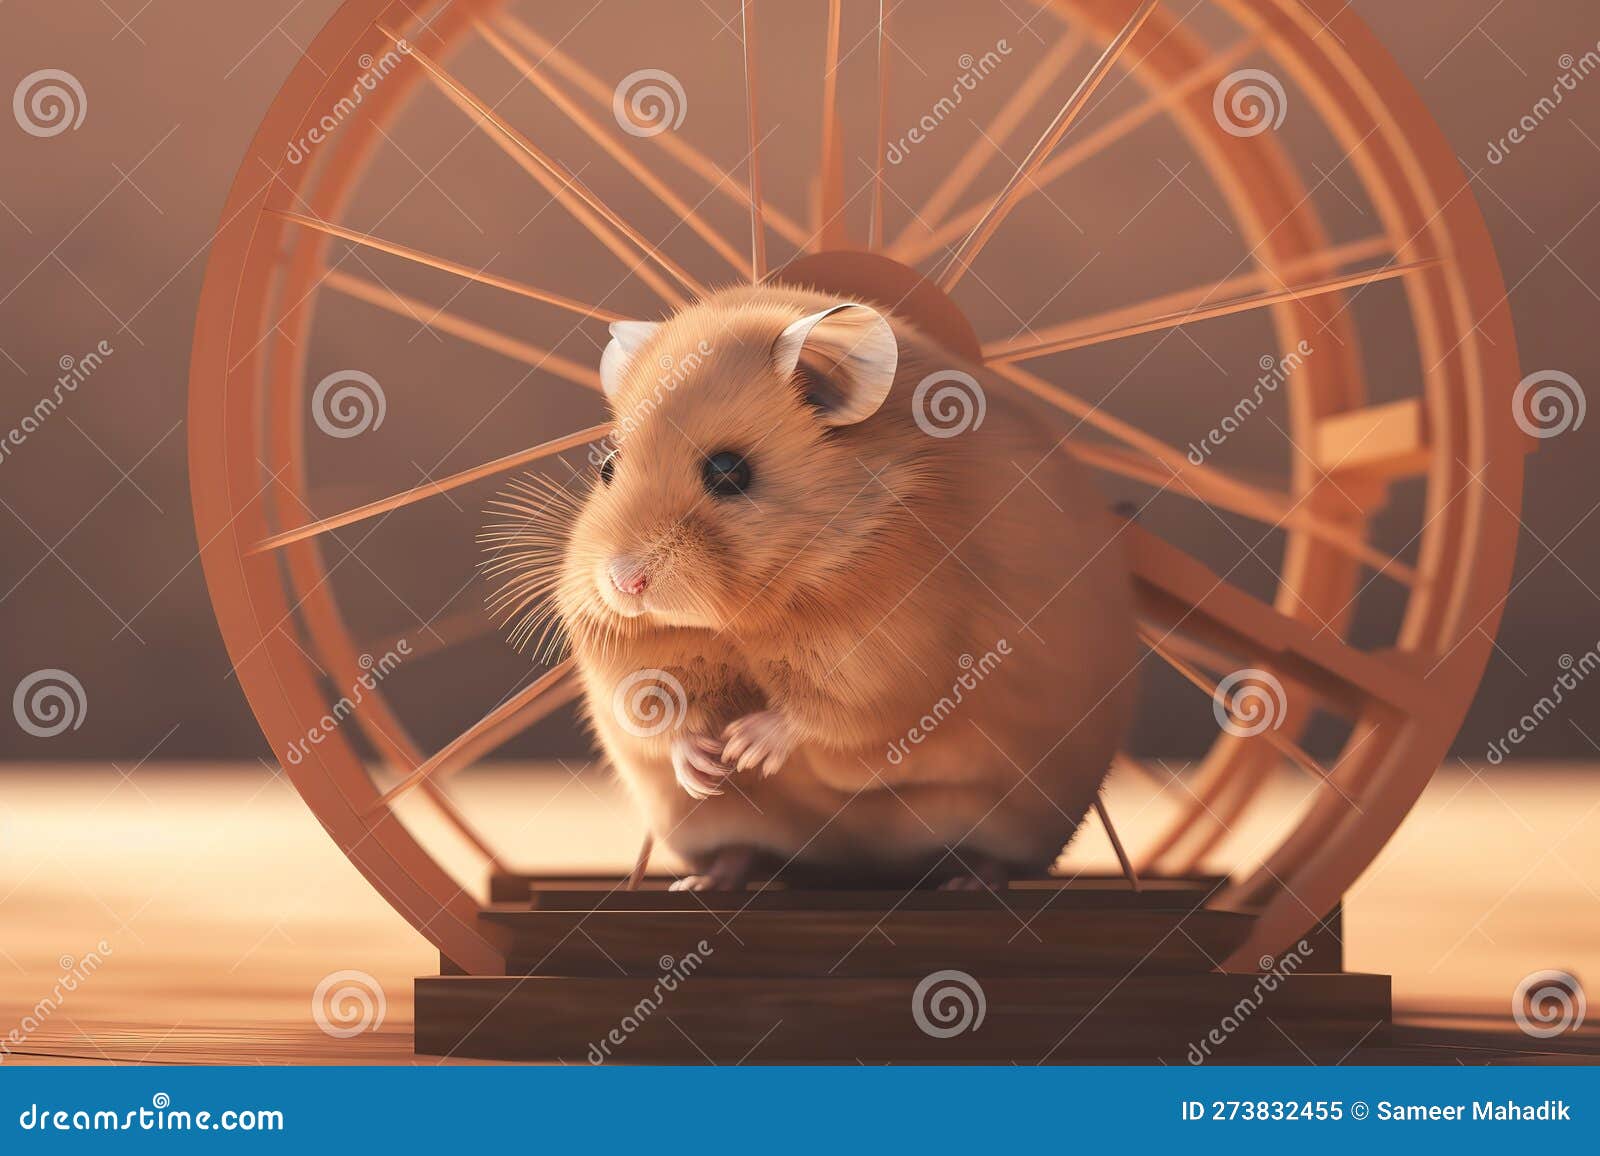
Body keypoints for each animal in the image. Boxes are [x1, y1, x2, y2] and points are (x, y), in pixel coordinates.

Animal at [484, 284, 1137, 891]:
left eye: (728, 472)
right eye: (607, 467)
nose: (623, 581)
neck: (747, 615)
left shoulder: (887, 653)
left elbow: (822, 711)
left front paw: (745, 746)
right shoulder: (635, 658)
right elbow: (658, 710)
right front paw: (706, 764)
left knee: (997, 859)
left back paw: (967, 883)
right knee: (742, 850)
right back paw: (698, 882)